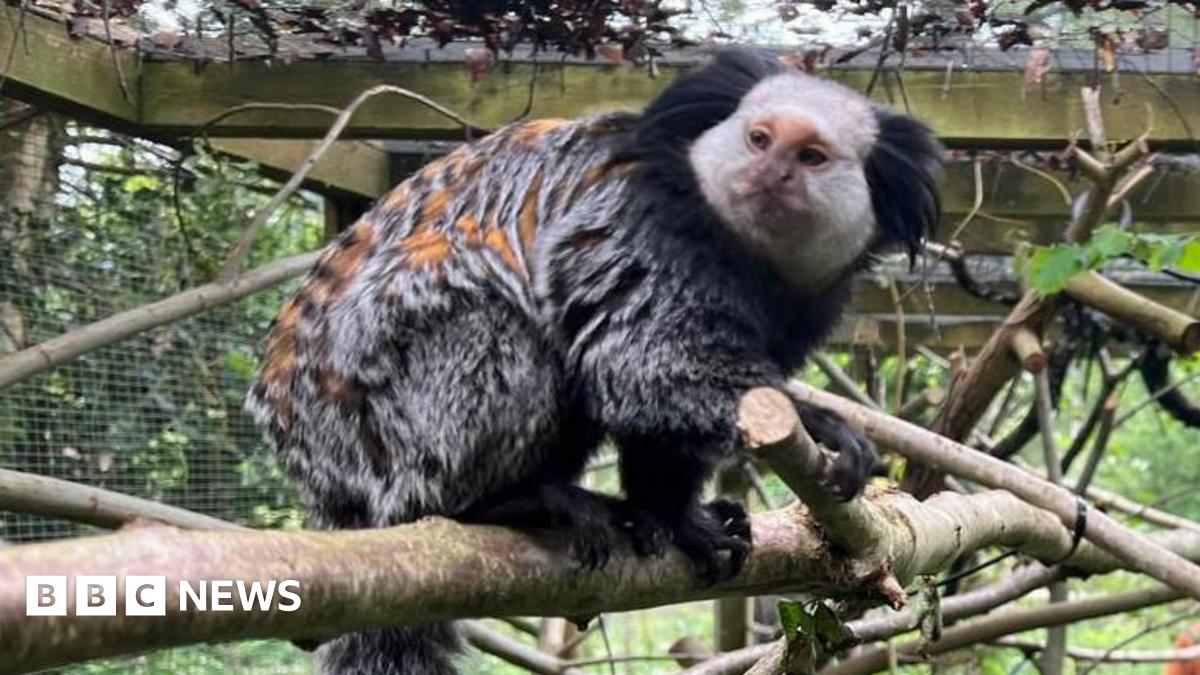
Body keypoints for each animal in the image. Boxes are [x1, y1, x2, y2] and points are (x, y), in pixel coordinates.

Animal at [246, 47, 942, 675]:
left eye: (811, 157)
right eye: (759, 139)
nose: (770, 174)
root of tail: (320, 479)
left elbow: (663, 420)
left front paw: (678, 517)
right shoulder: (642, 220)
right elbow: (640, 361)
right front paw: (821, 425)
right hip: (379, 428)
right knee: (498, 325)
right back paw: (508, 501)